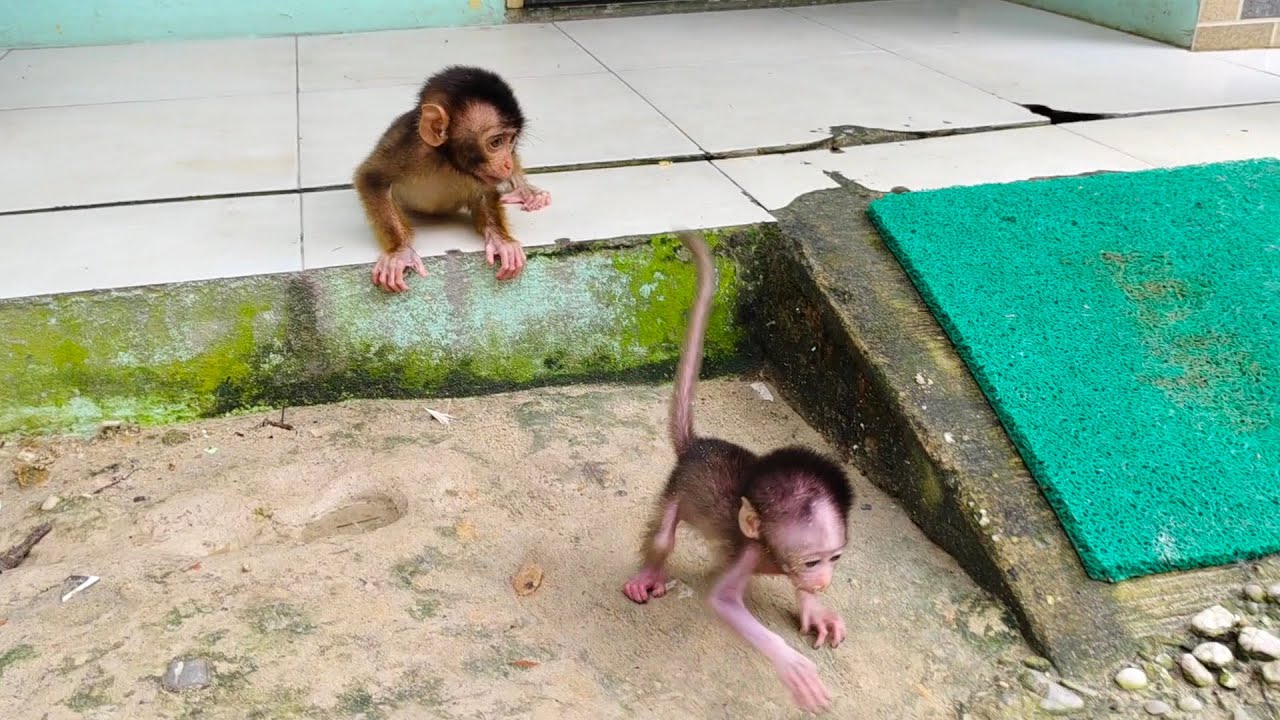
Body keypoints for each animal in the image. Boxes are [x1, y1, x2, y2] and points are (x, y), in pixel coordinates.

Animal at [353, 66, 551, 293]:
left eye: (511, 141)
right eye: (496, 143)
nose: (508, 163)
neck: (446, 160)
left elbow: (485, 192)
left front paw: (500, 240)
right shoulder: (409, 149)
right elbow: (371, 179)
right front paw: (399, 253)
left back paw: (526, 190)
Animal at [622, 230, 854, 715]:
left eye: (834, 558)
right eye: (811, 560)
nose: (824, 580)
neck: (771, 556)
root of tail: (695, 443)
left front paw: (813, 608)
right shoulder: (748, 553)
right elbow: (721, 600)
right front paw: (793, 667)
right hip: (675, 490)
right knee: (663, 539)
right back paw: (648, 575)